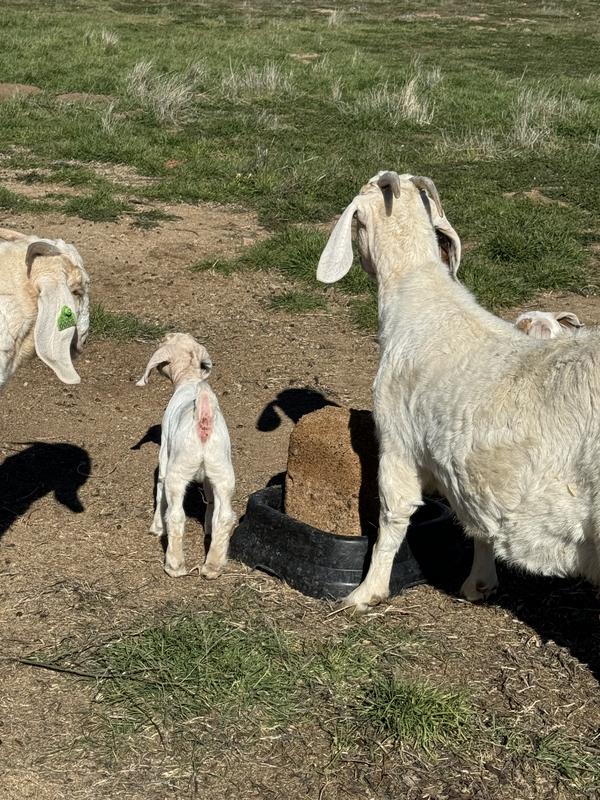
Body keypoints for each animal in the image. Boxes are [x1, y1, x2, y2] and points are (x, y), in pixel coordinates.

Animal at [137, 333, 236, 579]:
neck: (189, 378)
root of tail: (203, 419)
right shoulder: (210, 478)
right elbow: (210, 500)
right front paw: (208, 525)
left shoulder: (165, 454)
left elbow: (159, 490)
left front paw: (156, 527)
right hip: (222, 471)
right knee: (225, 517)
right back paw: (212, 566)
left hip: (178, 471)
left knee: (175, 515)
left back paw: (174, 564)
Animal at [317, 170, 600, 610]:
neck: (421, 300)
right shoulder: (468, 467)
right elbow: (479, 520)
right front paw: (480, 583)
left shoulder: (397, 442)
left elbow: (393, 516)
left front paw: (366, 593)